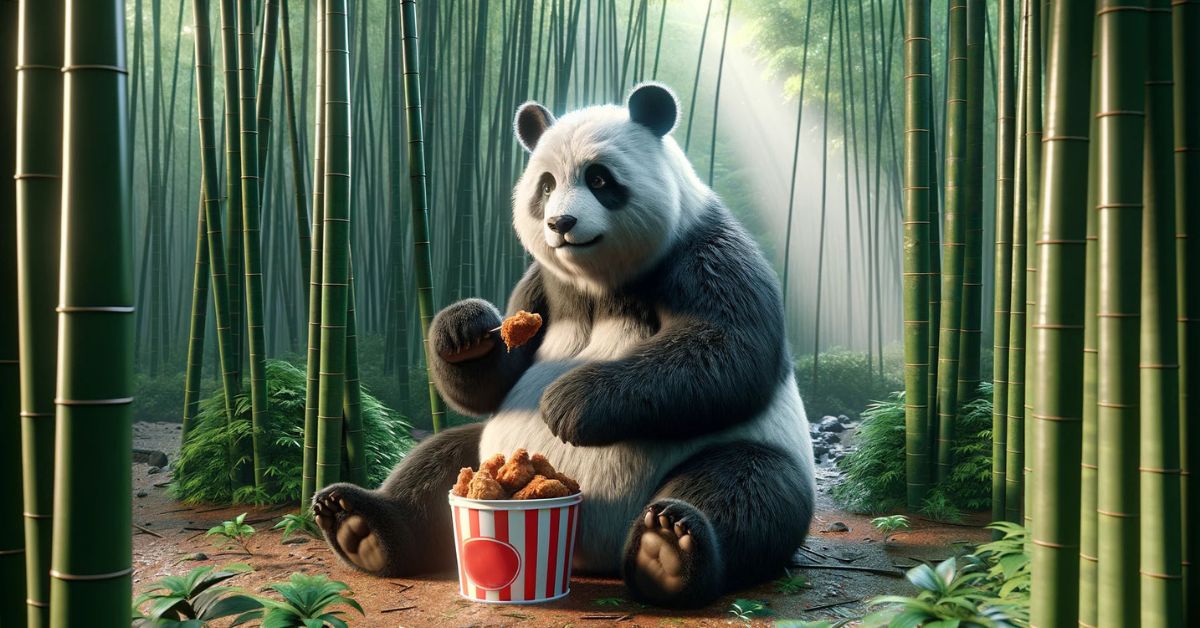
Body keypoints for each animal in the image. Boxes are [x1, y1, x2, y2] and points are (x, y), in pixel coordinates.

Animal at [313, 83, 815, 608]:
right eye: (546, 185)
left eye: (599, 178)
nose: (561, 223)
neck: (596, 283)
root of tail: (591, 556)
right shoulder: (543, 283)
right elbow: (495, 381)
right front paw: (463, 332)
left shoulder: (702, 251)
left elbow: (729, 352)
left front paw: (569, 403)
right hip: (485, 450)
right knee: (439, 459)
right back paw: (356, 522)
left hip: (741, 456)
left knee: (748, 487)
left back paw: (669, 550)